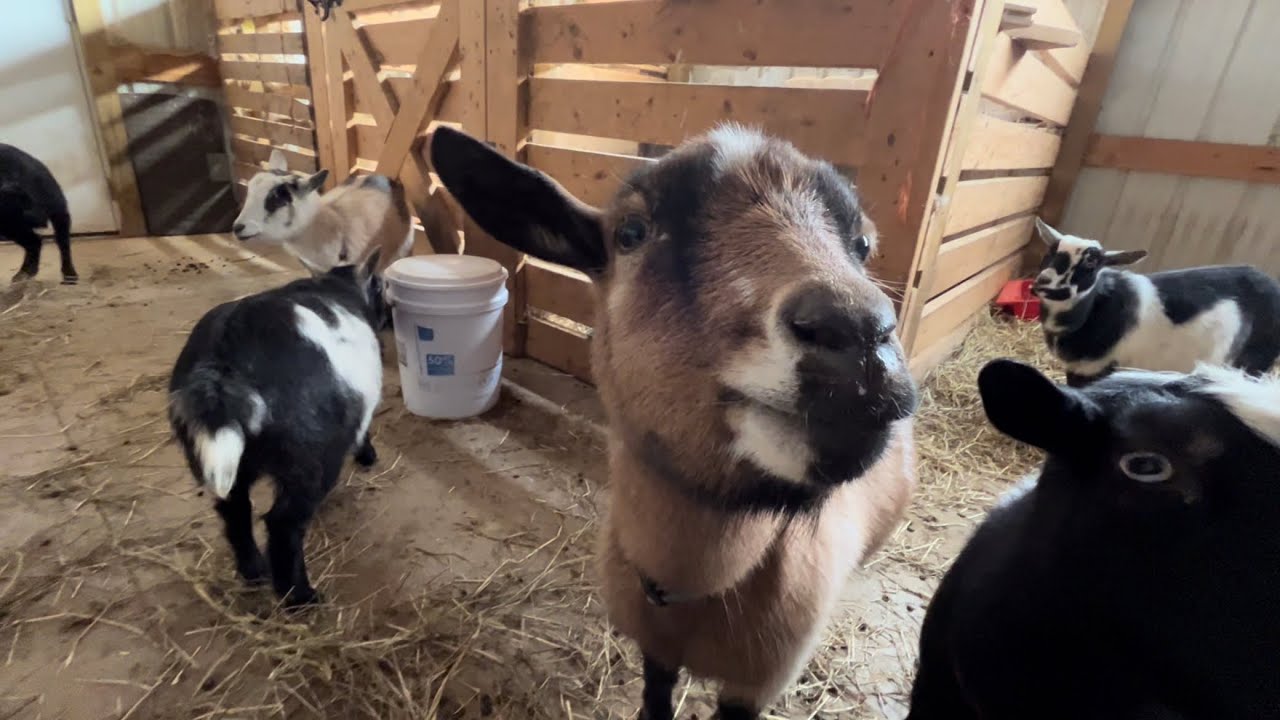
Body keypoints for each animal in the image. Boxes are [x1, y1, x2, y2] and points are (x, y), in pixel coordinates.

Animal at [0, 144, 76, 284]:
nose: (8, 187)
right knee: (34, 241)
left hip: (56, 210)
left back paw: (69, 276)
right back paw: (24, 274)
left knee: (61, 241)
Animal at [168, 250, 384, 607]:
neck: (336, 286)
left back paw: (253, 570)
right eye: (380, 285)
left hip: (225, 459)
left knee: (234, 508)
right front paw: (368, 455)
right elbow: (363, 430)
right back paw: (300, 597)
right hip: (309, 458)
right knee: (283, 524)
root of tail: (223, 366)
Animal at [430, 124, 918, 719]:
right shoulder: (654, 644)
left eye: (863, 245)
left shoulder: (757, 682)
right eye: (631, 233)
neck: (693, 586)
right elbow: (656, 696)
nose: (859, 332)